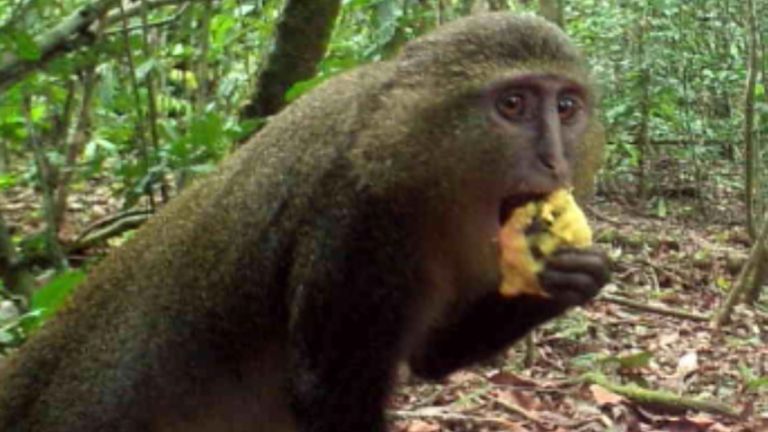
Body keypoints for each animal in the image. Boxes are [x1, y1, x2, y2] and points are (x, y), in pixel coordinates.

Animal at [0, 13, 609, 432]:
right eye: (513, 104)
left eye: (566, 108)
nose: (554, 159)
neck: (415, 170)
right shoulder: (353, 222)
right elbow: (330, 397)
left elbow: (430, 357)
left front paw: (570, 279)